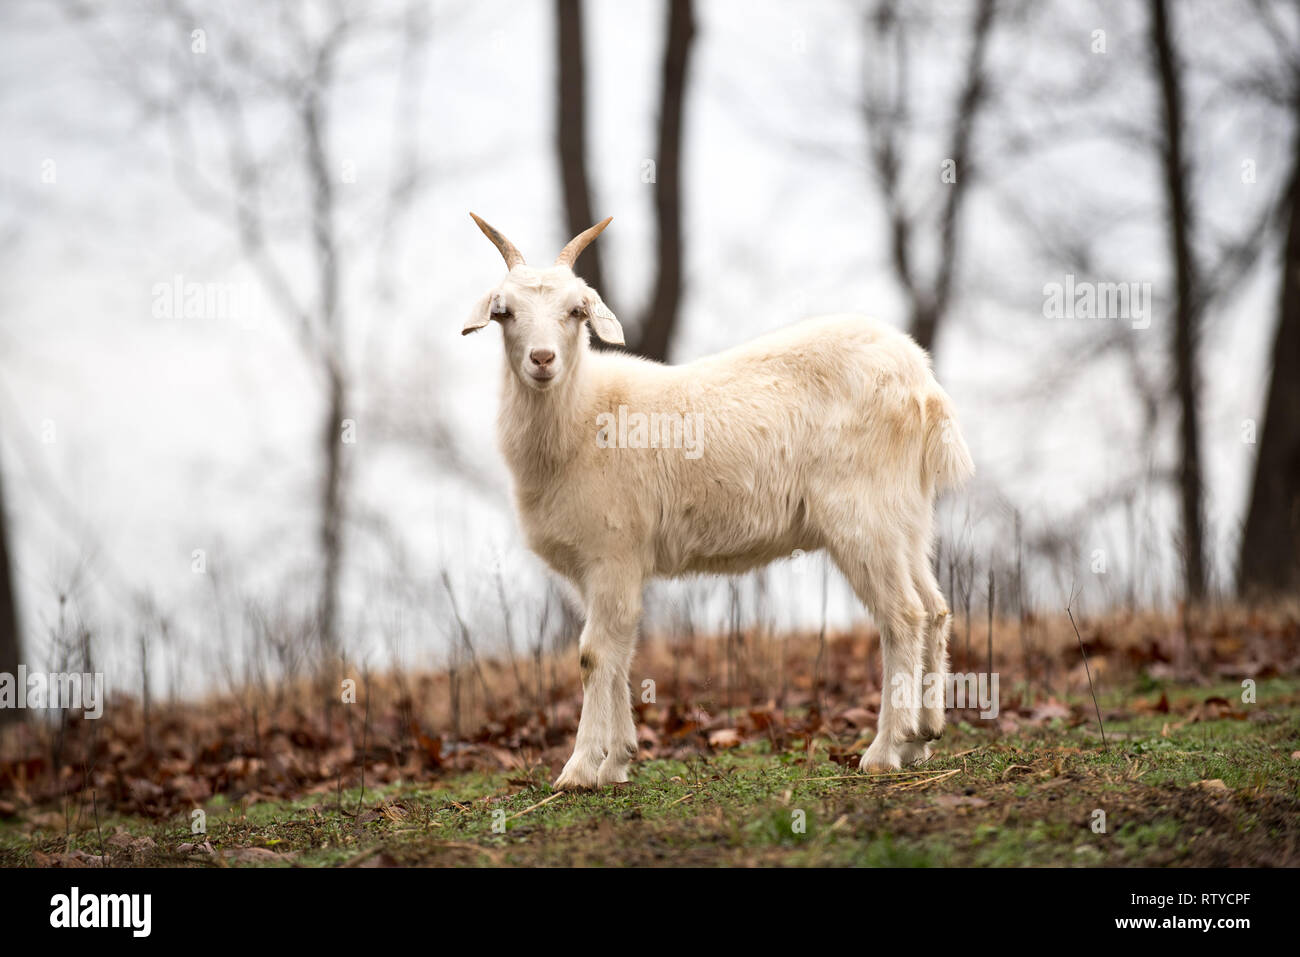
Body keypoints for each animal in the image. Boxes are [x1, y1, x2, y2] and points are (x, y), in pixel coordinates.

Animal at [463, 214, 974, 789]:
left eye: (577, 311)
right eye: (503, 312)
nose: (543, 359)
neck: (583, 414)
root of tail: (923, 382)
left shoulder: (612, 552)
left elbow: (594, 656)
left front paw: (578, 770)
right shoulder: (597, 567)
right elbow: (619, 653)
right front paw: (618, 761)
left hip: (861, 512)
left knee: (903, 615)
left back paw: (884, 750)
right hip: (906, 513)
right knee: (934, 607)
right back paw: (923, 737)